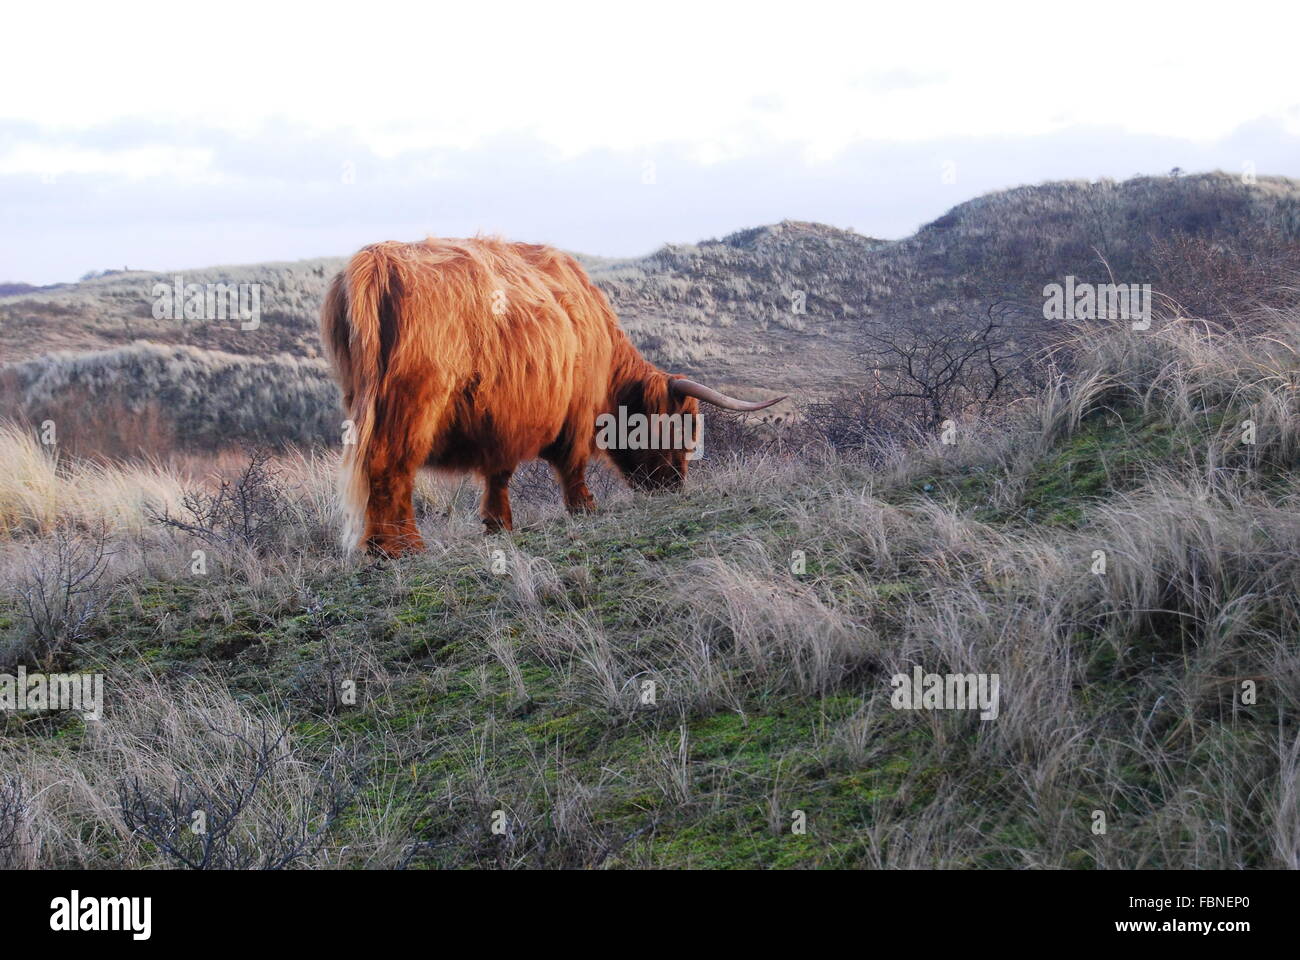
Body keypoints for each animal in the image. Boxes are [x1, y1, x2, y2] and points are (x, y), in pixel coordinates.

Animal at [321, 237, 784, 556]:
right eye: (680, 424)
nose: (674, 484)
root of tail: (375, 261)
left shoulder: (504, 417)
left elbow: (499, 474)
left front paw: (498, 524)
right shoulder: (574, 412)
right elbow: (572, 465)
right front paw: (585, 507)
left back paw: (381, 546)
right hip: (412, 404)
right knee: (391, 468)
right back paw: (400, 546)